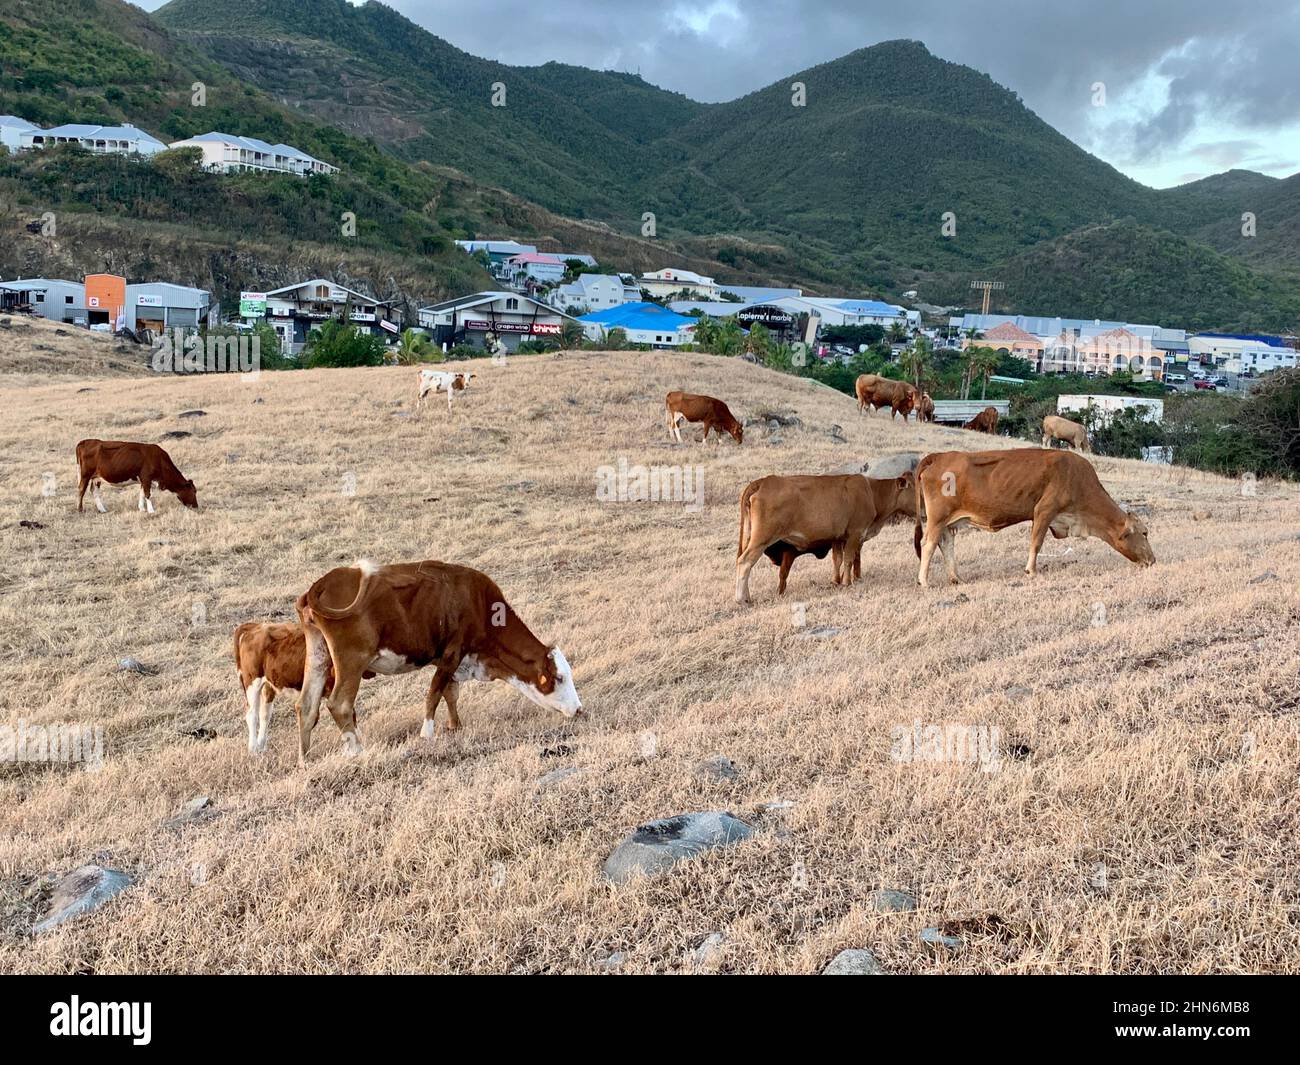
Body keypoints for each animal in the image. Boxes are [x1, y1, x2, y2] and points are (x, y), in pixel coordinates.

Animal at [294, 560, 581, 764]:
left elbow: (450, 693)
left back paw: (305, 760)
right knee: (339, 703)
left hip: (319, 655)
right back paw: (357, 750)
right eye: (559, 677)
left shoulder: (452, 660)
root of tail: (321, 583)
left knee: (306, 705)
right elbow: (434, 694)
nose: (578, 709)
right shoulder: (452, 654)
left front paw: (455, 725)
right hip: (352, 661)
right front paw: (427, 734)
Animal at [735, 471, 917, 603]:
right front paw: (847, 582)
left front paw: (836, 581)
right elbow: (849, 559)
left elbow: (838, 559)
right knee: (744, 562)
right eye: (915, 489)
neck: (872, 492)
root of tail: (764, 481)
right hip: (762, 538)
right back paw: (742, 599)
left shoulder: (838, 538)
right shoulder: (855, 533)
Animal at [913, 449, 1154, 587]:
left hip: (948, 522)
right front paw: (1031, 570)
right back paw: (924, 581)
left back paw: (956, 578)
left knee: (946, 543)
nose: (1152, 560)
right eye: (1144, 533)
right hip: (938, 518)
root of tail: (939, 457)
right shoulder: (1044, 511)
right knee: (928, 543)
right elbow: (1036, 543)